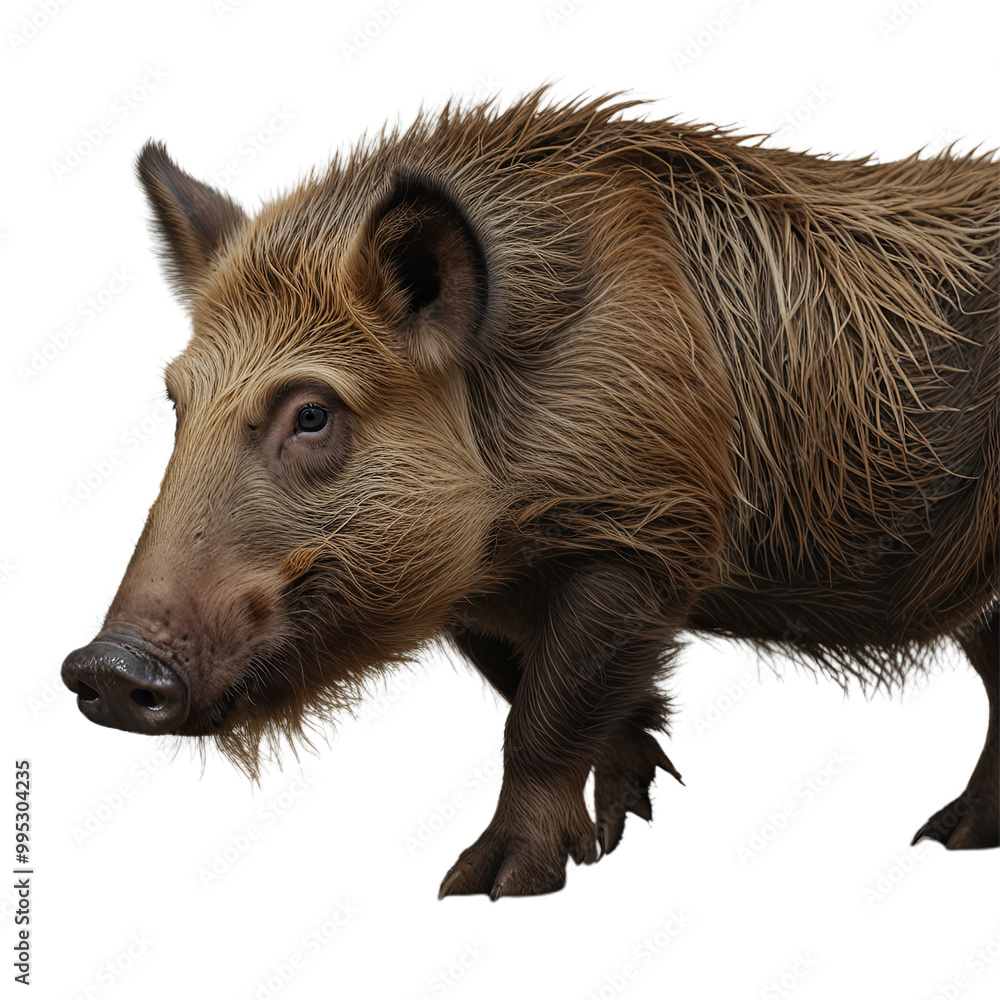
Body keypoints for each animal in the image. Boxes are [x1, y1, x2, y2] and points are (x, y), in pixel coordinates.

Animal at [61, 90, 998, 898]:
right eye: (176, 402)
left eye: (313, 413)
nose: (103, 668)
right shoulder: (484, 596)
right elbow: (541, 697)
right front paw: (620, 823)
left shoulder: (647, 540)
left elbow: (542, 719)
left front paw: (484, 886)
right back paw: (951, 836)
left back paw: (943, 837)